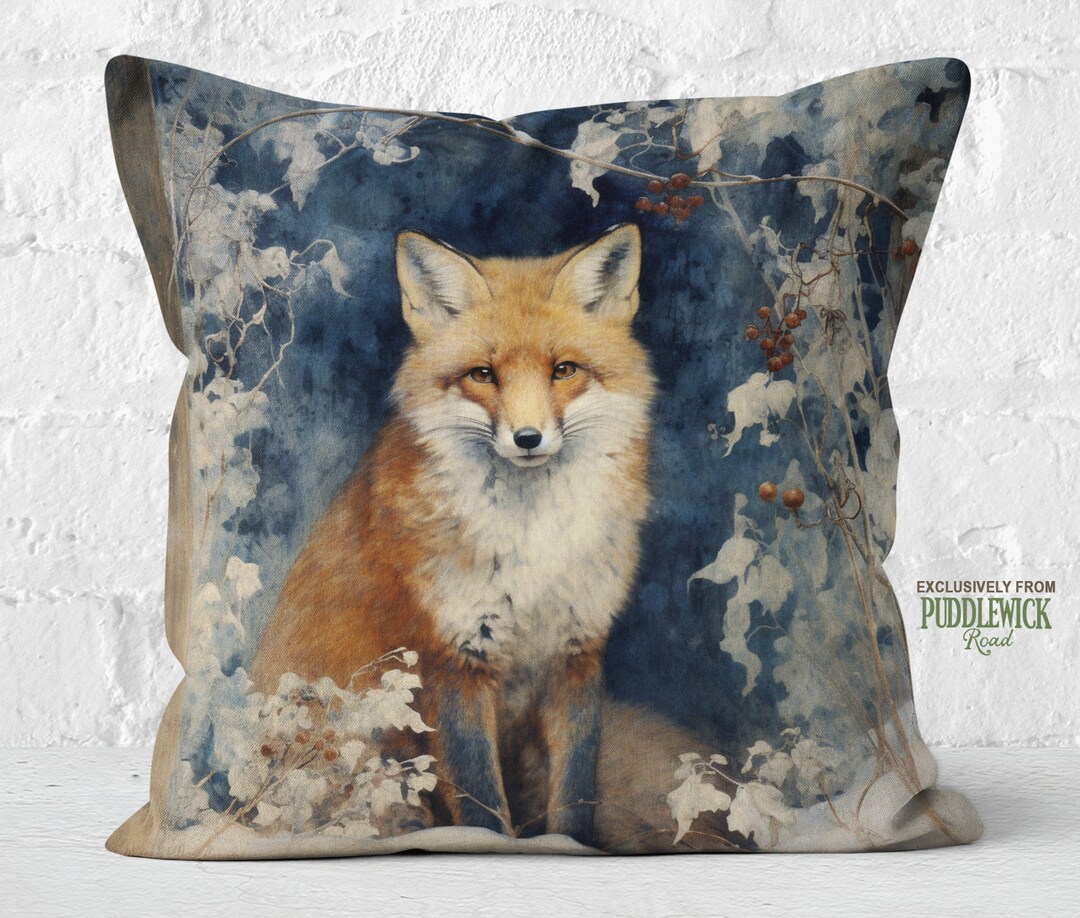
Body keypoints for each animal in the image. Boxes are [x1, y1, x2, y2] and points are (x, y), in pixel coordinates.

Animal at [249, 223, 737, 851]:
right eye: (483, 374)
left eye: (564, 370)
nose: (528, 438)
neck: (534, 547)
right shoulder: (454, 663)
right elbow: (480, 803)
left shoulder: (577, 656)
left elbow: (575, 797)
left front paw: (568, 849)